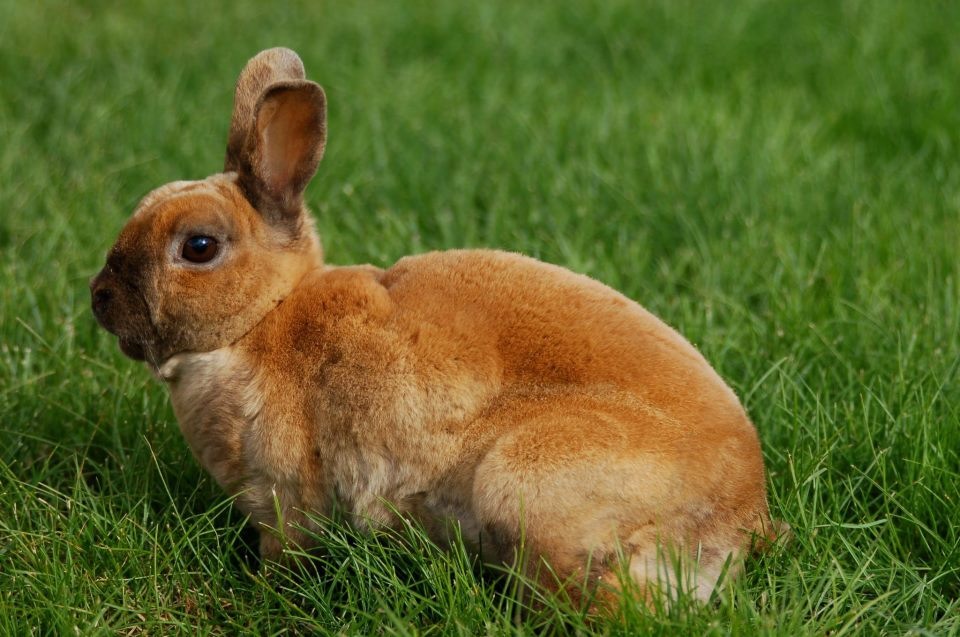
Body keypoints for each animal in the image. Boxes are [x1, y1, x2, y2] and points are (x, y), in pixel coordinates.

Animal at [91, 47, 783, 607]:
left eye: (199, 246)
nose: (100, 298)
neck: (265, 319)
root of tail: (741, 517)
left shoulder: (287, 497)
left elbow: (285, 552)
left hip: (526, 483)